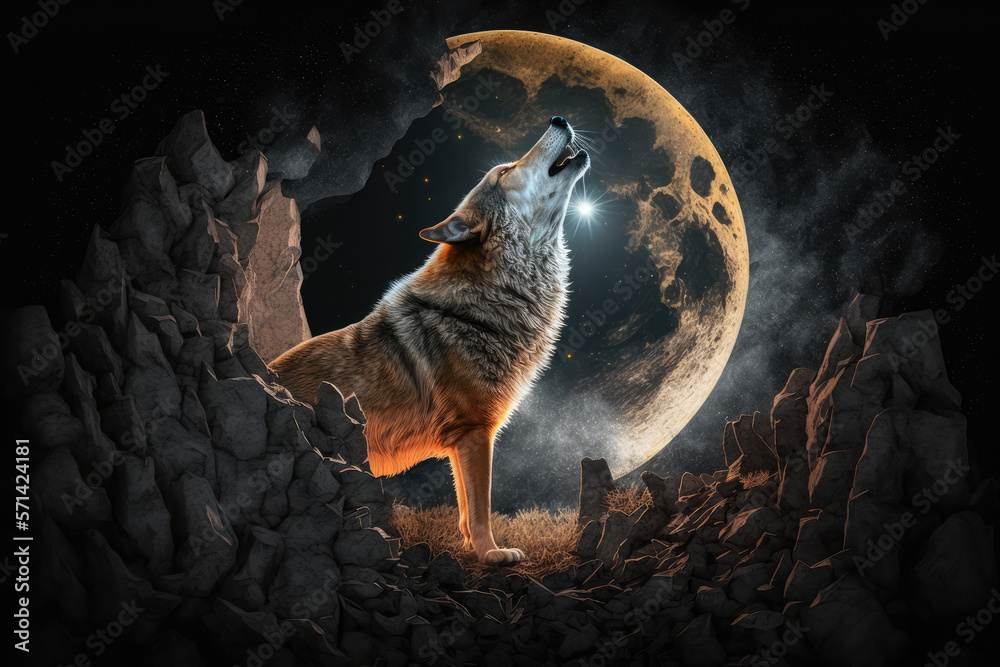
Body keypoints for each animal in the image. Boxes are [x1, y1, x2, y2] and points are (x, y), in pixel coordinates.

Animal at [269, 116, 589, 564]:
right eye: (505, 170)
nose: (559, 119)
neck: (484, 306)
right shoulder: (474, 431)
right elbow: (481, 509)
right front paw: (493, 554)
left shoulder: (462, 441)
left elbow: (465, 511)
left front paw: (475, 550)